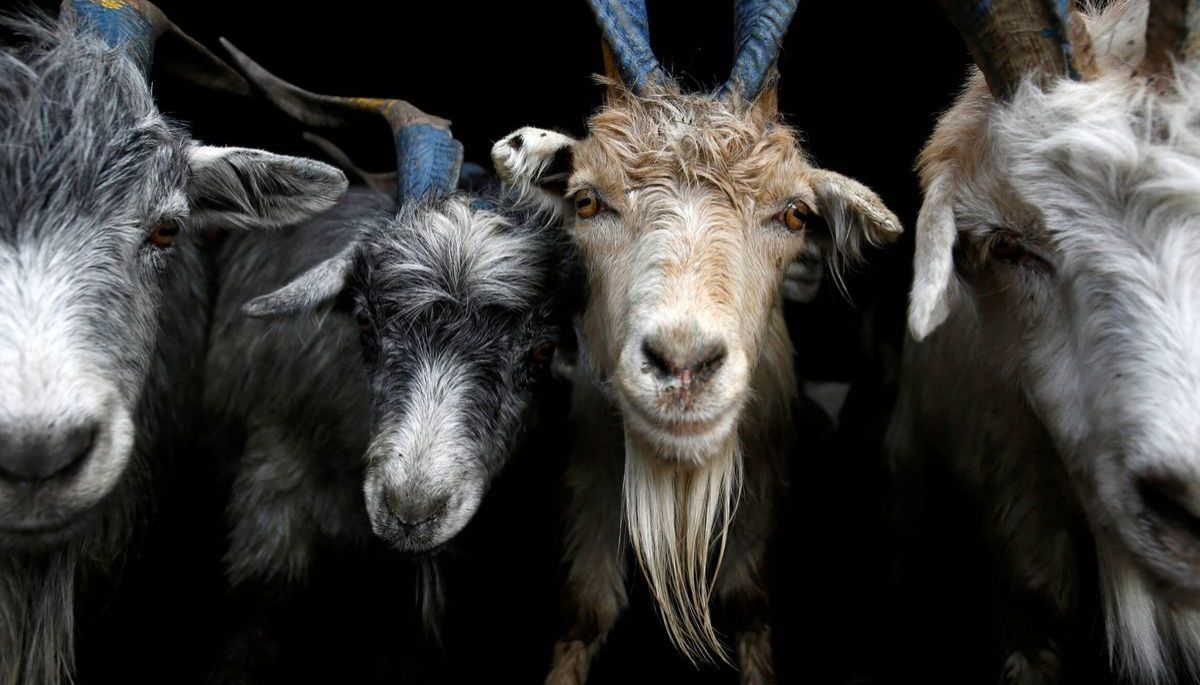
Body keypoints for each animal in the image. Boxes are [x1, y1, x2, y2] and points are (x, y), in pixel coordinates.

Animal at [496, 1, 903, 681]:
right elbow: (586, 608)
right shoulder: (594, 472)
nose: (683, 365)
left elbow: (746, 605)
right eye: (587, 200)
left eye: (794, 213)